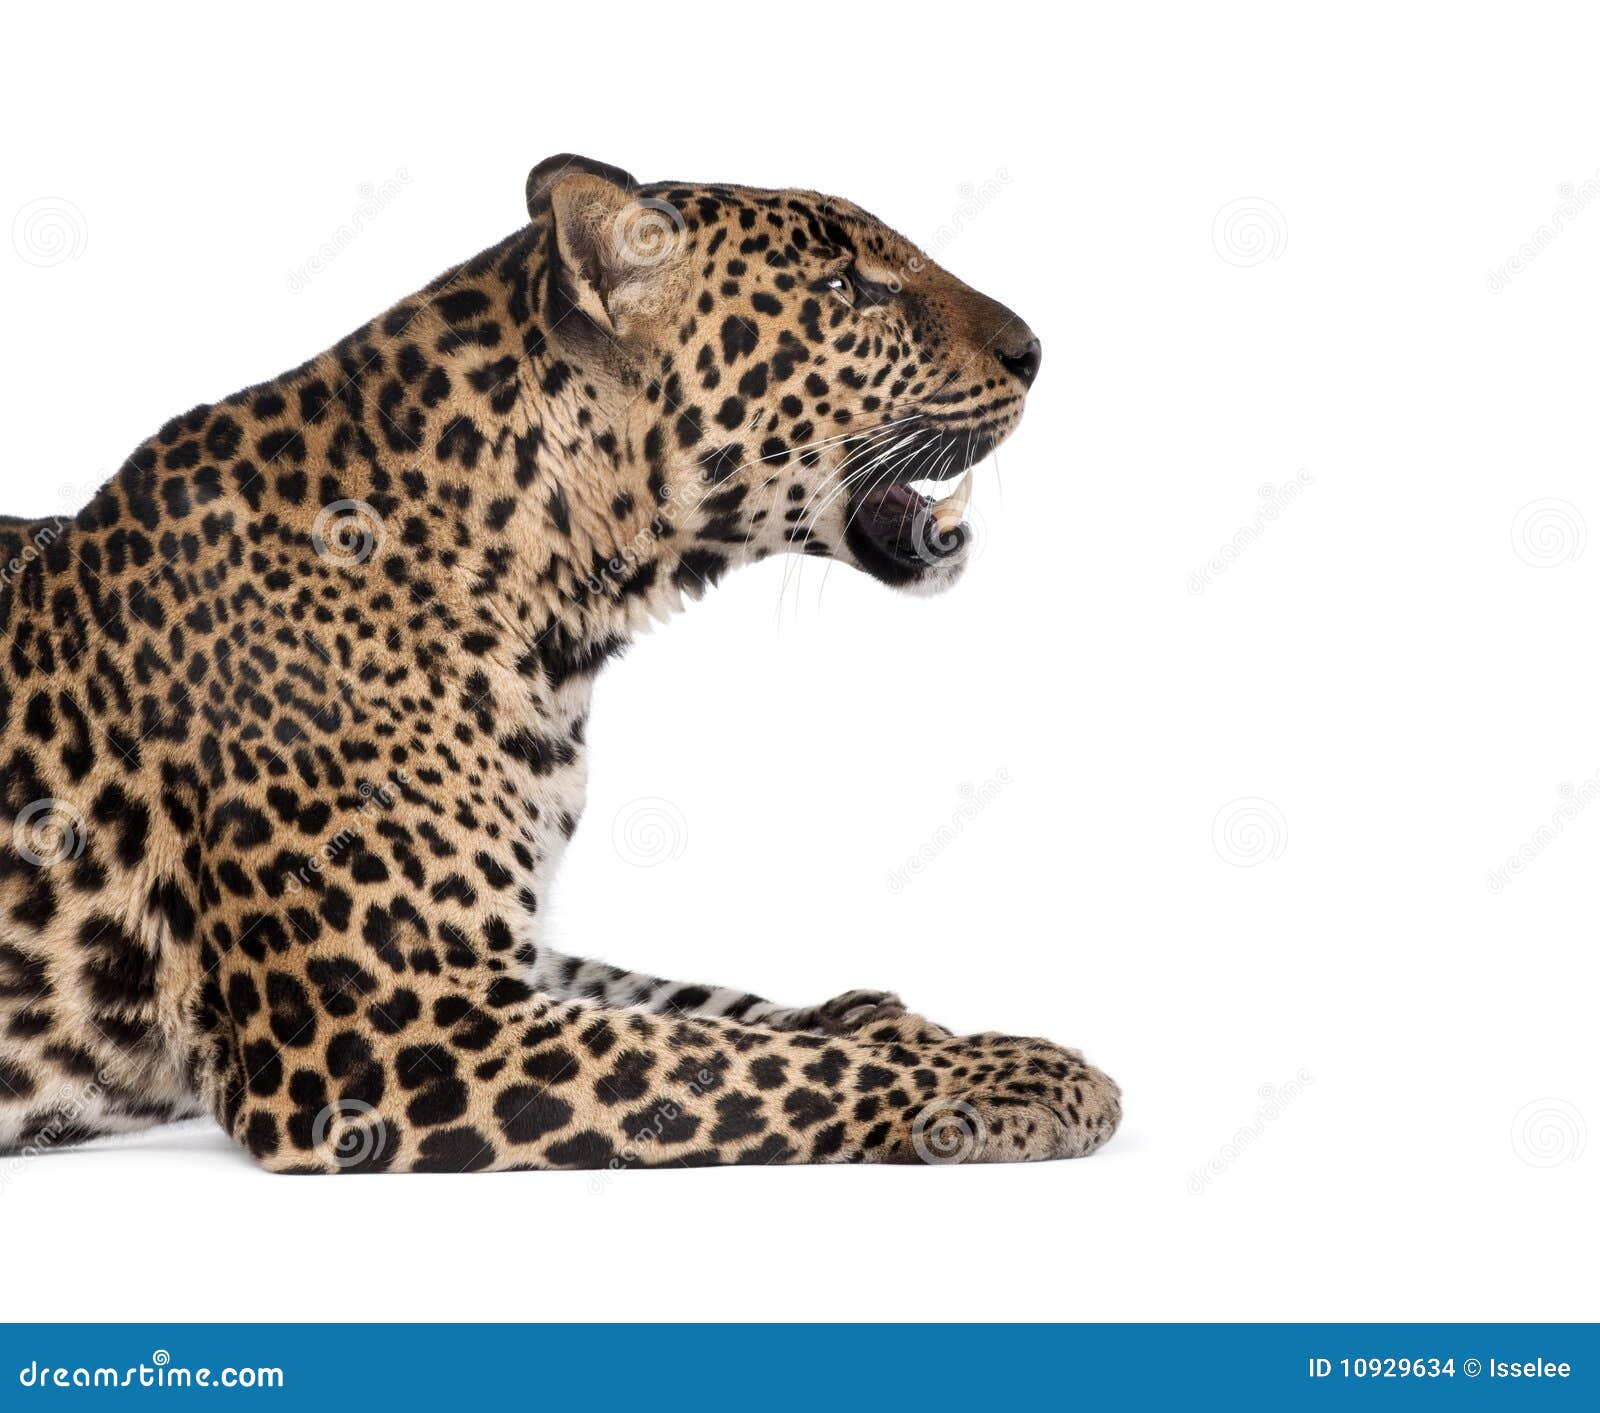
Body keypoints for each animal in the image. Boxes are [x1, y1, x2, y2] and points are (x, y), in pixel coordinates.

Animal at [0, 154, 1120, 1172]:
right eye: (848, 290)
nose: (1033, 350)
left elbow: (706, 1004)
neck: (564, 619)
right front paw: (1014, 1075)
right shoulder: (388, 1040)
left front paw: (893, 1019)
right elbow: (731, 1063)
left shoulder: (507, 960)